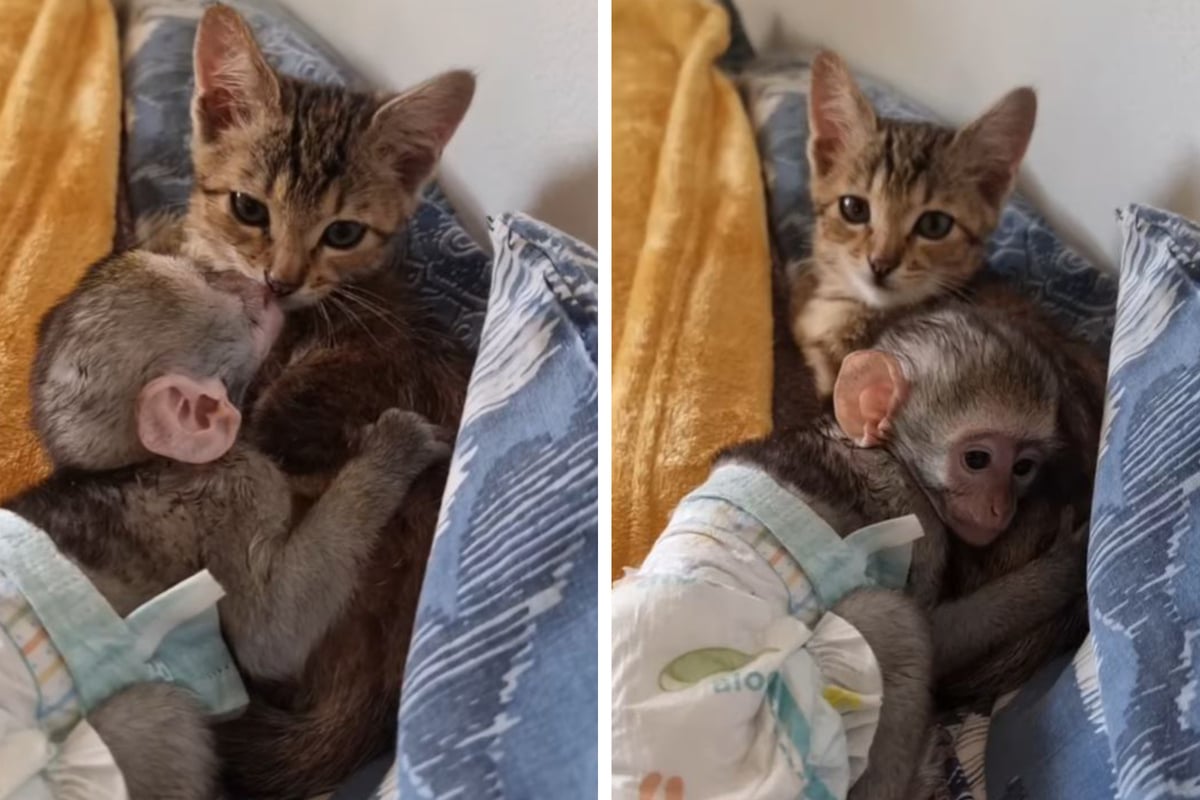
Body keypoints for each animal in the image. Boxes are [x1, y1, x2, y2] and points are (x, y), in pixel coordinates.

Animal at [0, 250, 448, 799]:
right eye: (244, 307)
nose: (263, 286)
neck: (138, 465)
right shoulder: (241, 484)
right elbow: (269, 637)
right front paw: (391, 452)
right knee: (164, 709)